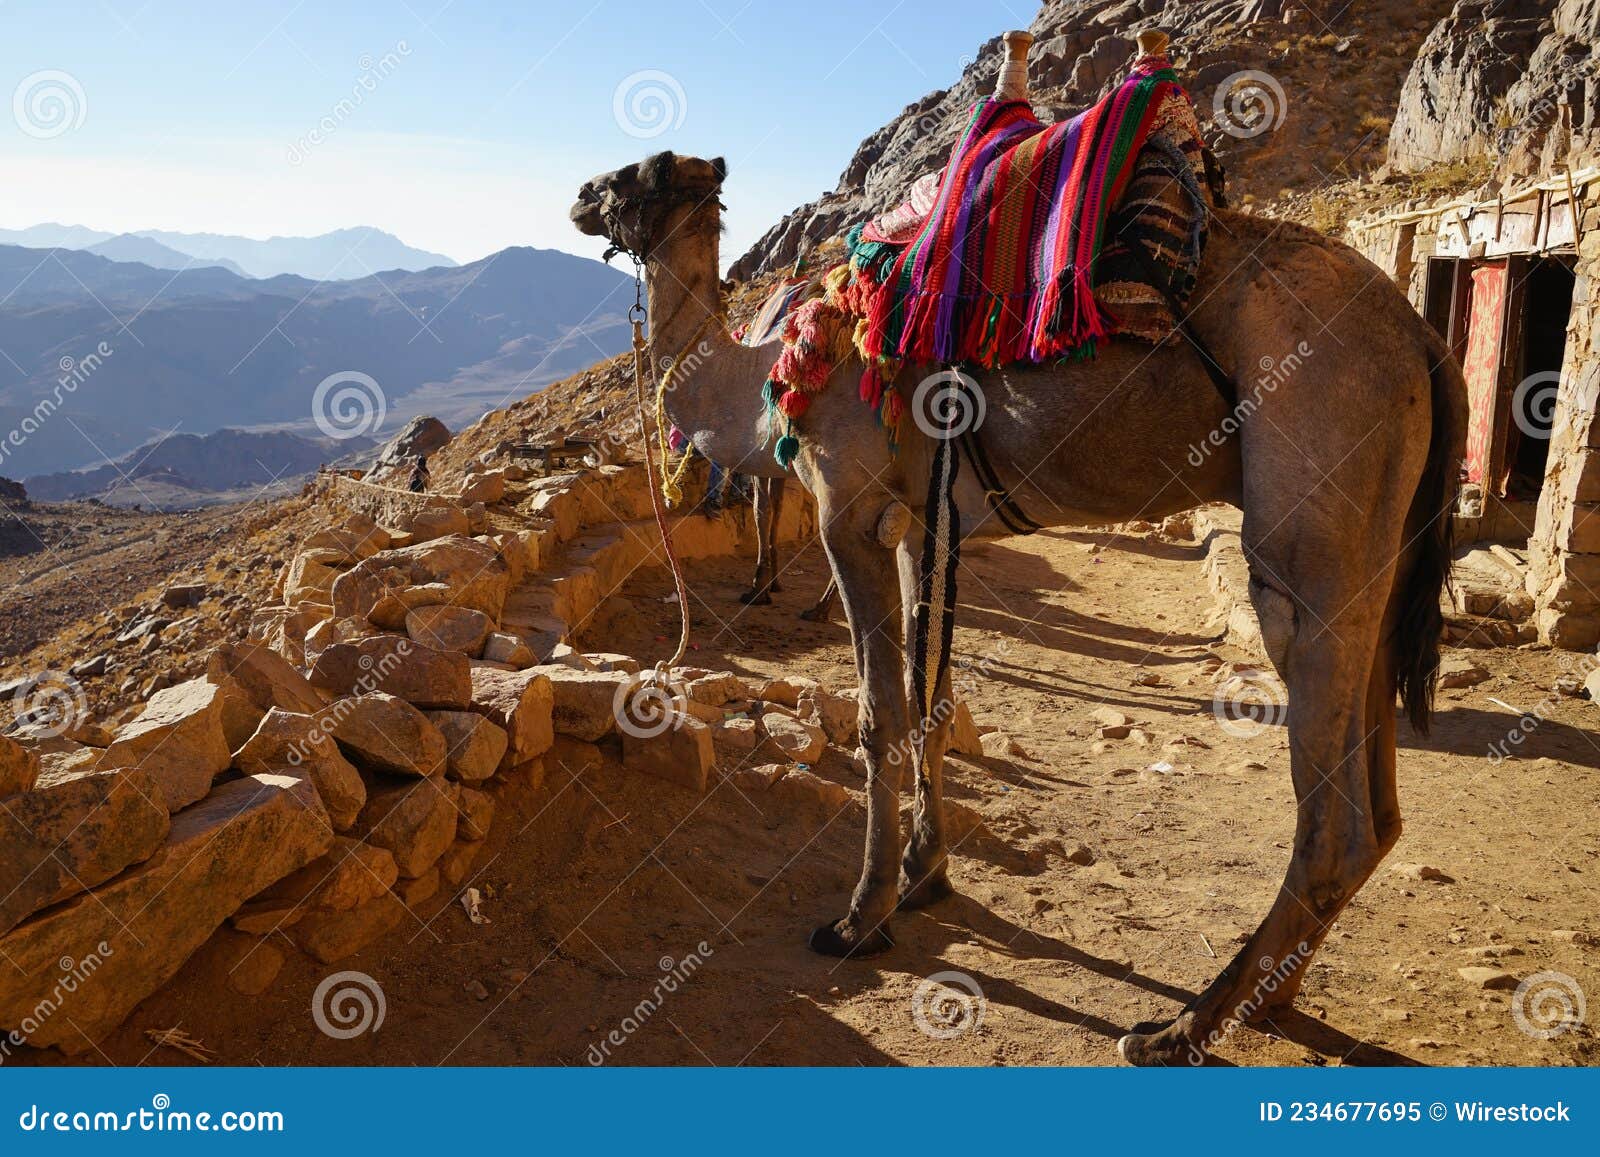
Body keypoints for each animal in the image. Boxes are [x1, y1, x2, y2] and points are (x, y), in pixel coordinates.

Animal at [571, 150, 1465, 1065]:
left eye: (637, 176)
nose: (579, 198)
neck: (765, 379)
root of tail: (1425, 341)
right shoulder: (919, 524)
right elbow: (931, 701)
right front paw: (926, 875)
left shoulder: (848, 511)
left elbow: (881, 716)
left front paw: (860, 918)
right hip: (1383, 550)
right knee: (1380, 810)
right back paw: (1269, 996)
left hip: (1312, 513)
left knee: (1335, 819)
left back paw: (1180, 1027)